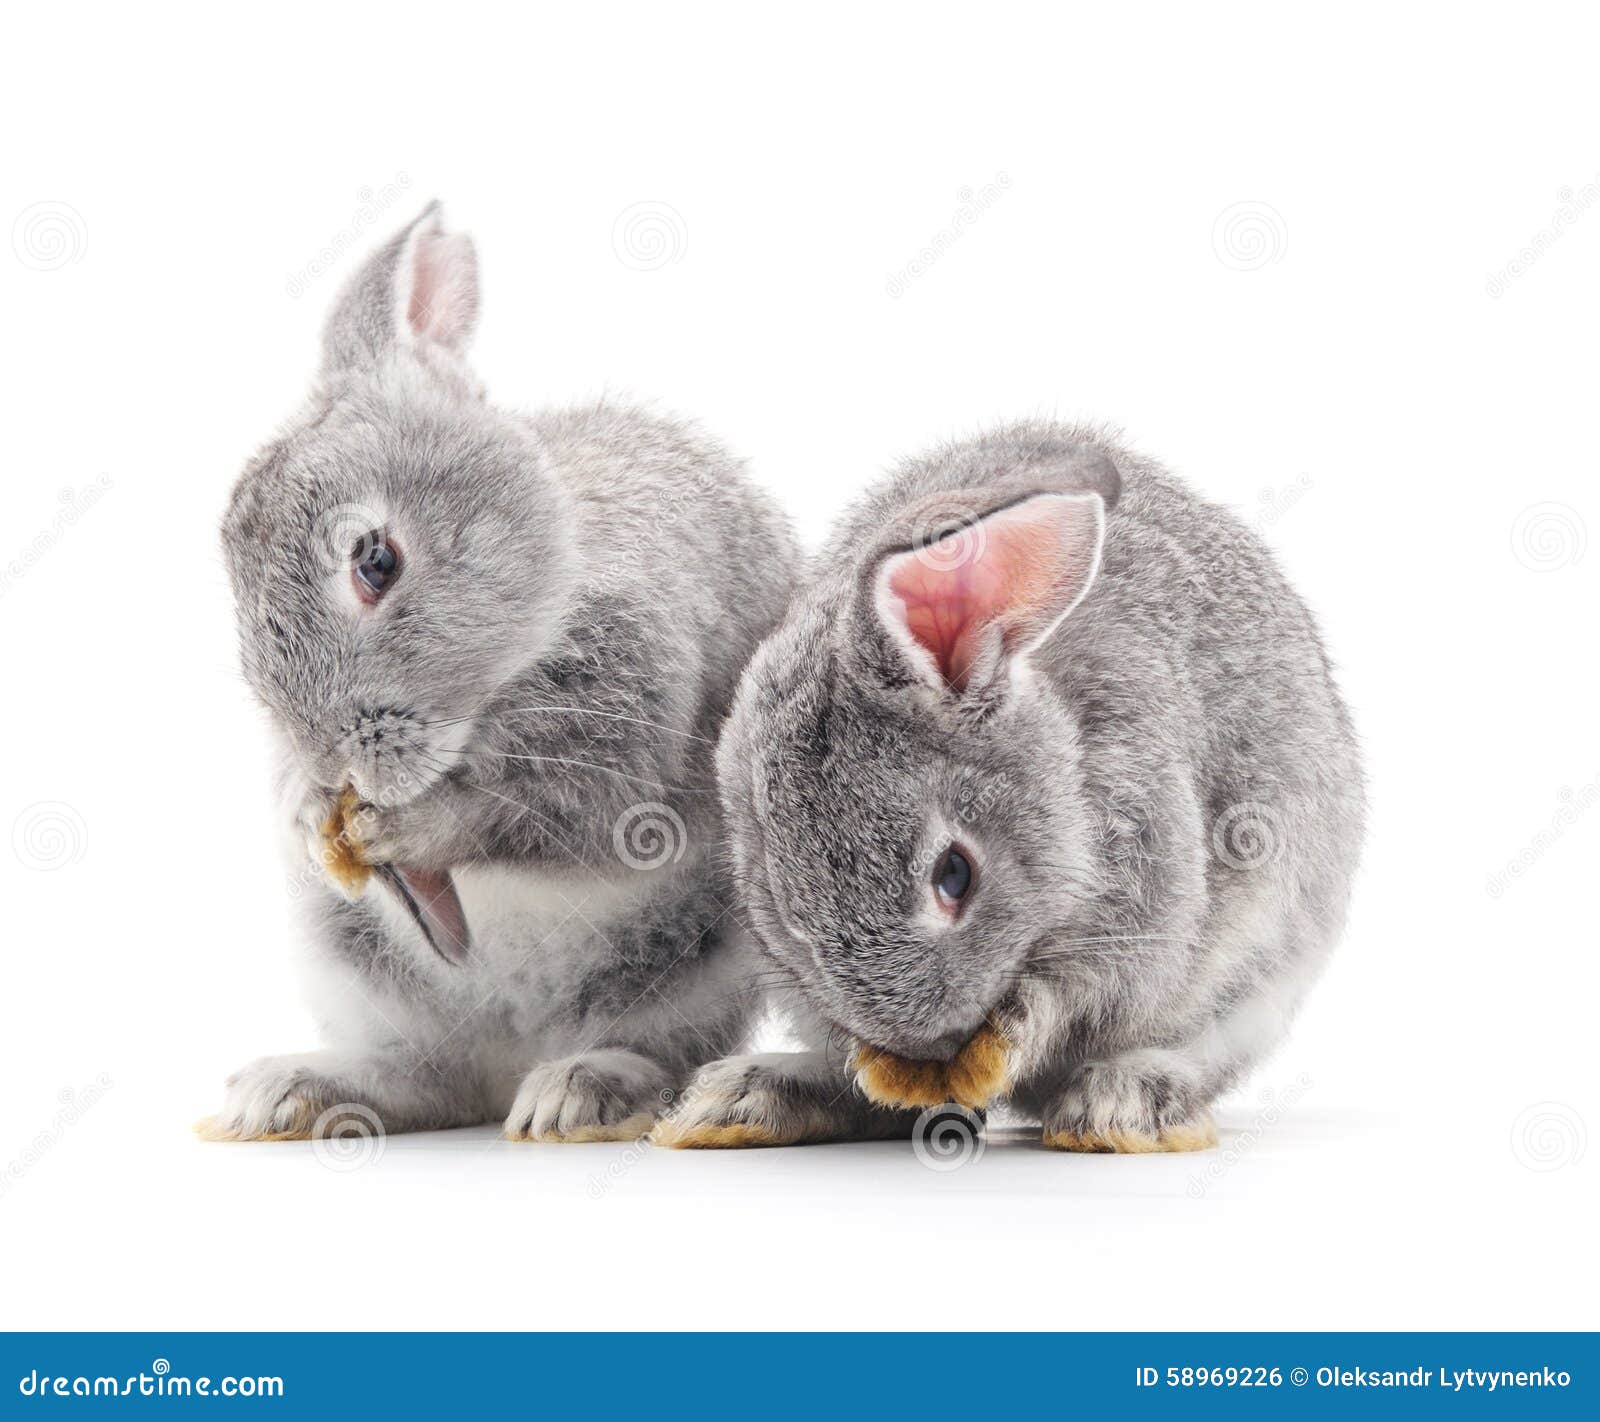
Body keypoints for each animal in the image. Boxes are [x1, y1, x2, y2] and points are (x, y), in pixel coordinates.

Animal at [202, 202, 797, 1143]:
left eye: (376, 561)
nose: (334, 763)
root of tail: (511, 1052)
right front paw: (302, 809)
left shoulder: (632, 741)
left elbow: (536, 820)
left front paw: (408, 829)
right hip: (353, 964)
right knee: (428, 1079)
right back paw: (297, 1089)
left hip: (701, 965)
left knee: (653, 1048)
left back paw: (583, 1090)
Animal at [655, 420, 1364, 1151]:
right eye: (787, 911)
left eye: (955, 874)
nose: (928, 1041)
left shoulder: (1141, 913)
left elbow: (1070, 998)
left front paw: (1012, 1035)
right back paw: (748, 1097)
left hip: (1260, 980)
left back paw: (1122, 1105)